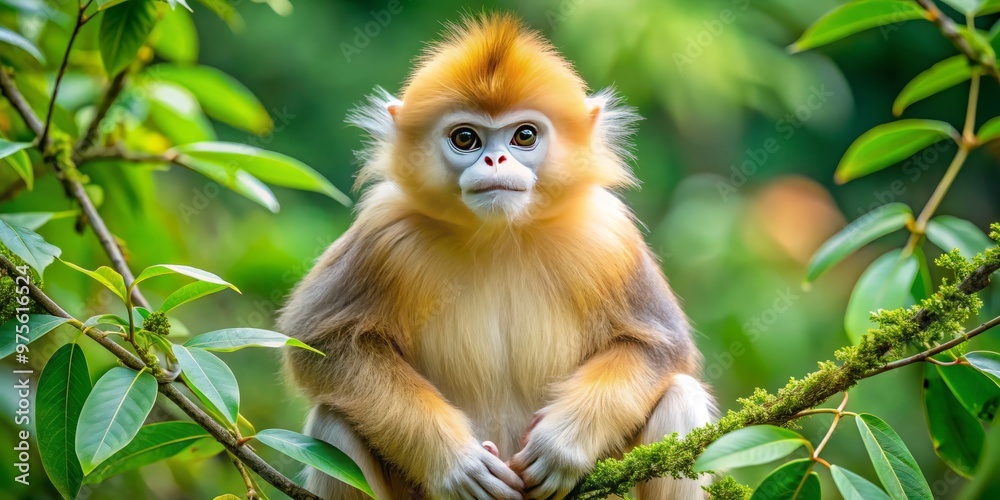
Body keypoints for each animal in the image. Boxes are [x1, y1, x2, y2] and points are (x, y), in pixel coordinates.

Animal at [278, 13, 715, 500]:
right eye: (465, 138)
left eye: (524, 135)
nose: (495, 160)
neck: (500, 236)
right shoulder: (382, 233)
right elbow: (322, 344)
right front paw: (459, 466)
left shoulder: (607, 235)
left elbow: (660, 346)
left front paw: (559, 448)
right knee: (332, 417)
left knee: (681, 397)